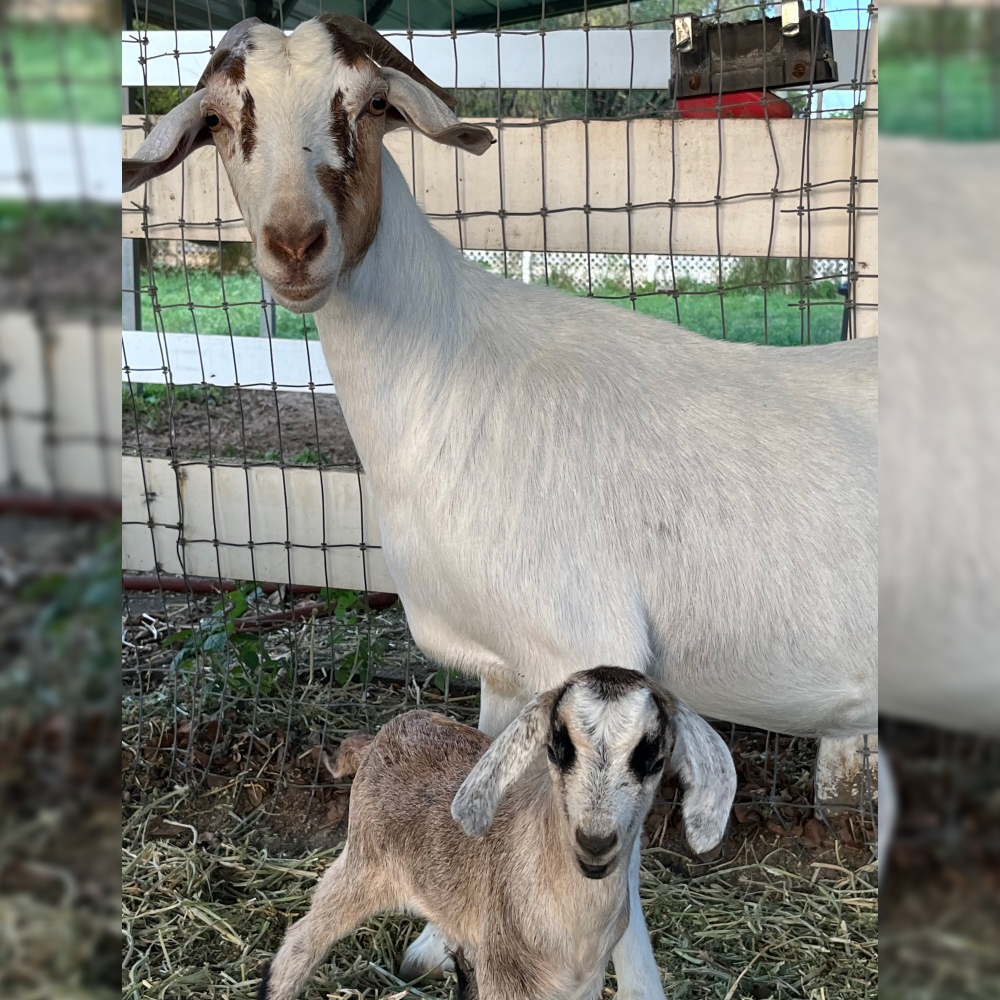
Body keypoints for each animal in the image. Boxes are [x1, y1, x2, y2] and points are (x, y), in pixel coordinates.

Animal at [257, 667, 736, 1000]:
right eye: (556, 747)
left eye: (652, 758)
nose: (595, 842)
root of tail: (380, 737)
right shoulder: (509, 975)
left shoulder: (581, 983)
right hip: (363, 863)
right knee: (303, 937)